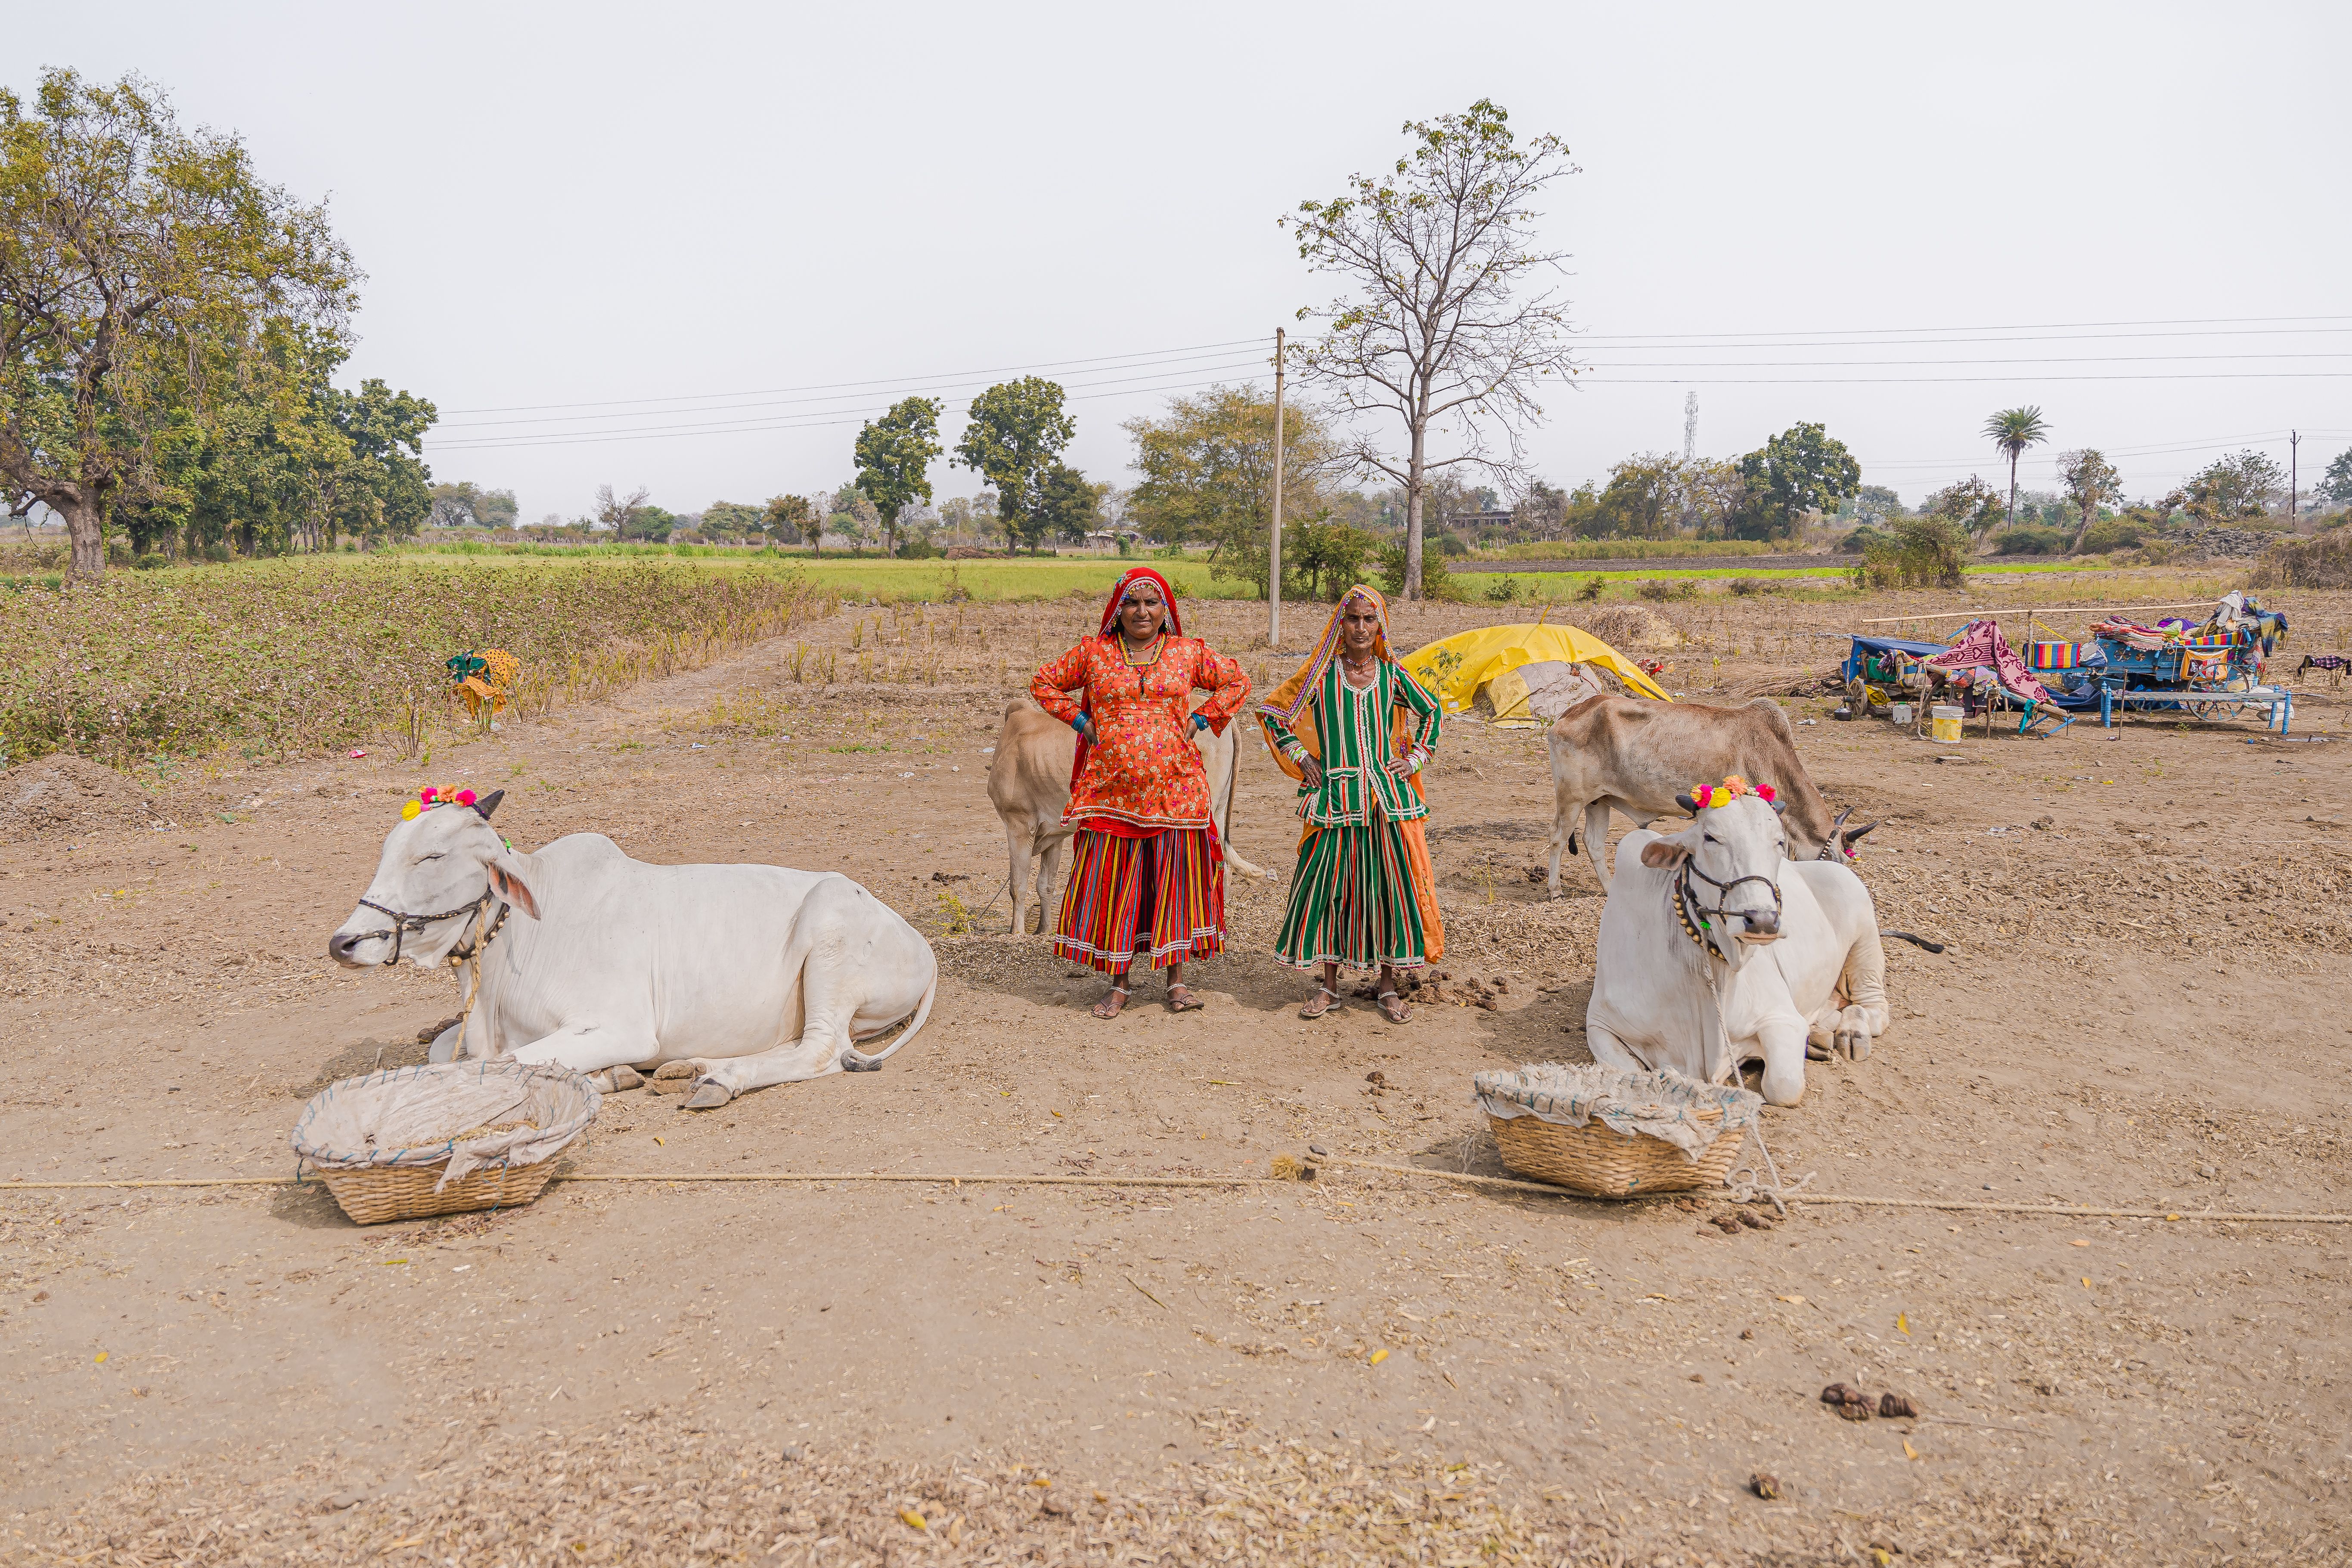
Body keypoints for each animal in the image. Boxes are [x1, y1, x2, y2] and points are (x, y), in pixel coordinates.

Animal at [326, 791, 937, 1111]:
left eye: (431, 856)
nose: (344, 942)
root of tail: (921, 944)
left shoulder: (619, 1024)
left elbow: (502, 1065)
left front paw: (607, 1076)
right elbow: (447, 1055)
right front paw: (612, 1077)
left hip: (829, 935)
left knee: (822, 1048)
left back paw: (720, 1079)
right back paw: (695, 1065)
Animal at [988, 699, 1265, 937]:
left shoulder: (1019, 824)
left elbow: (1018, 885)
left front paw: (1017, 933)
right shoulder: (1053, 834)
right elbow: (1044, 885)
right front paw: (1042, 931)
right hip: (1217, 811)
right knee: (1223, 864)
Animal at [1544, 695, 1874, 896]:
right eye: (1835, 860)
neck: (1771, 755)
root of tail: (1566, 715)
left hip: (1598, 801)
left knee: (1593, 843)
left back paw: (1610, 888)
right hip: (1572, 798)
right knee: (1557, 837)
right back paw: (1555, 889)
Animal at [1584, 790, 1903, 1107]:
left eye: (1779, 841)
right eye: (1710, 837)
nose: (1762, 920)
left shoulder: (1781, 1018)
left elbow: (1782, 1086)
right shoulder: (1600, 1023)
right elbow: (1630, 1075)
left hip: (1866, 939)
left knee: (1873, 1007)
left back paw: (1852, 1032)